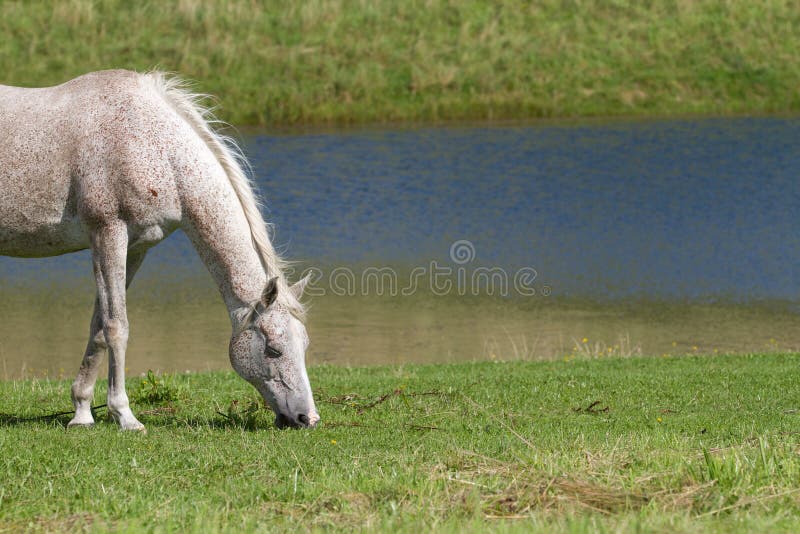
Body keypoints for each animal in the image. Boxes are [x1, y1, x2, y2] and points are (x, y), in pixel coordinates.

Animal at [0, 70, 319, 431]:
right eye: (274, 349)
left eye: (305, 344)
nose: (308, 418)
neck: (153, 145)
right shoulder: (108, 234)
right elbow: (117, 328)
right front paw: (125, 415)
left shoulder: (137, 247)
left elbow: (98, 328)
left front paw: (81, 413)